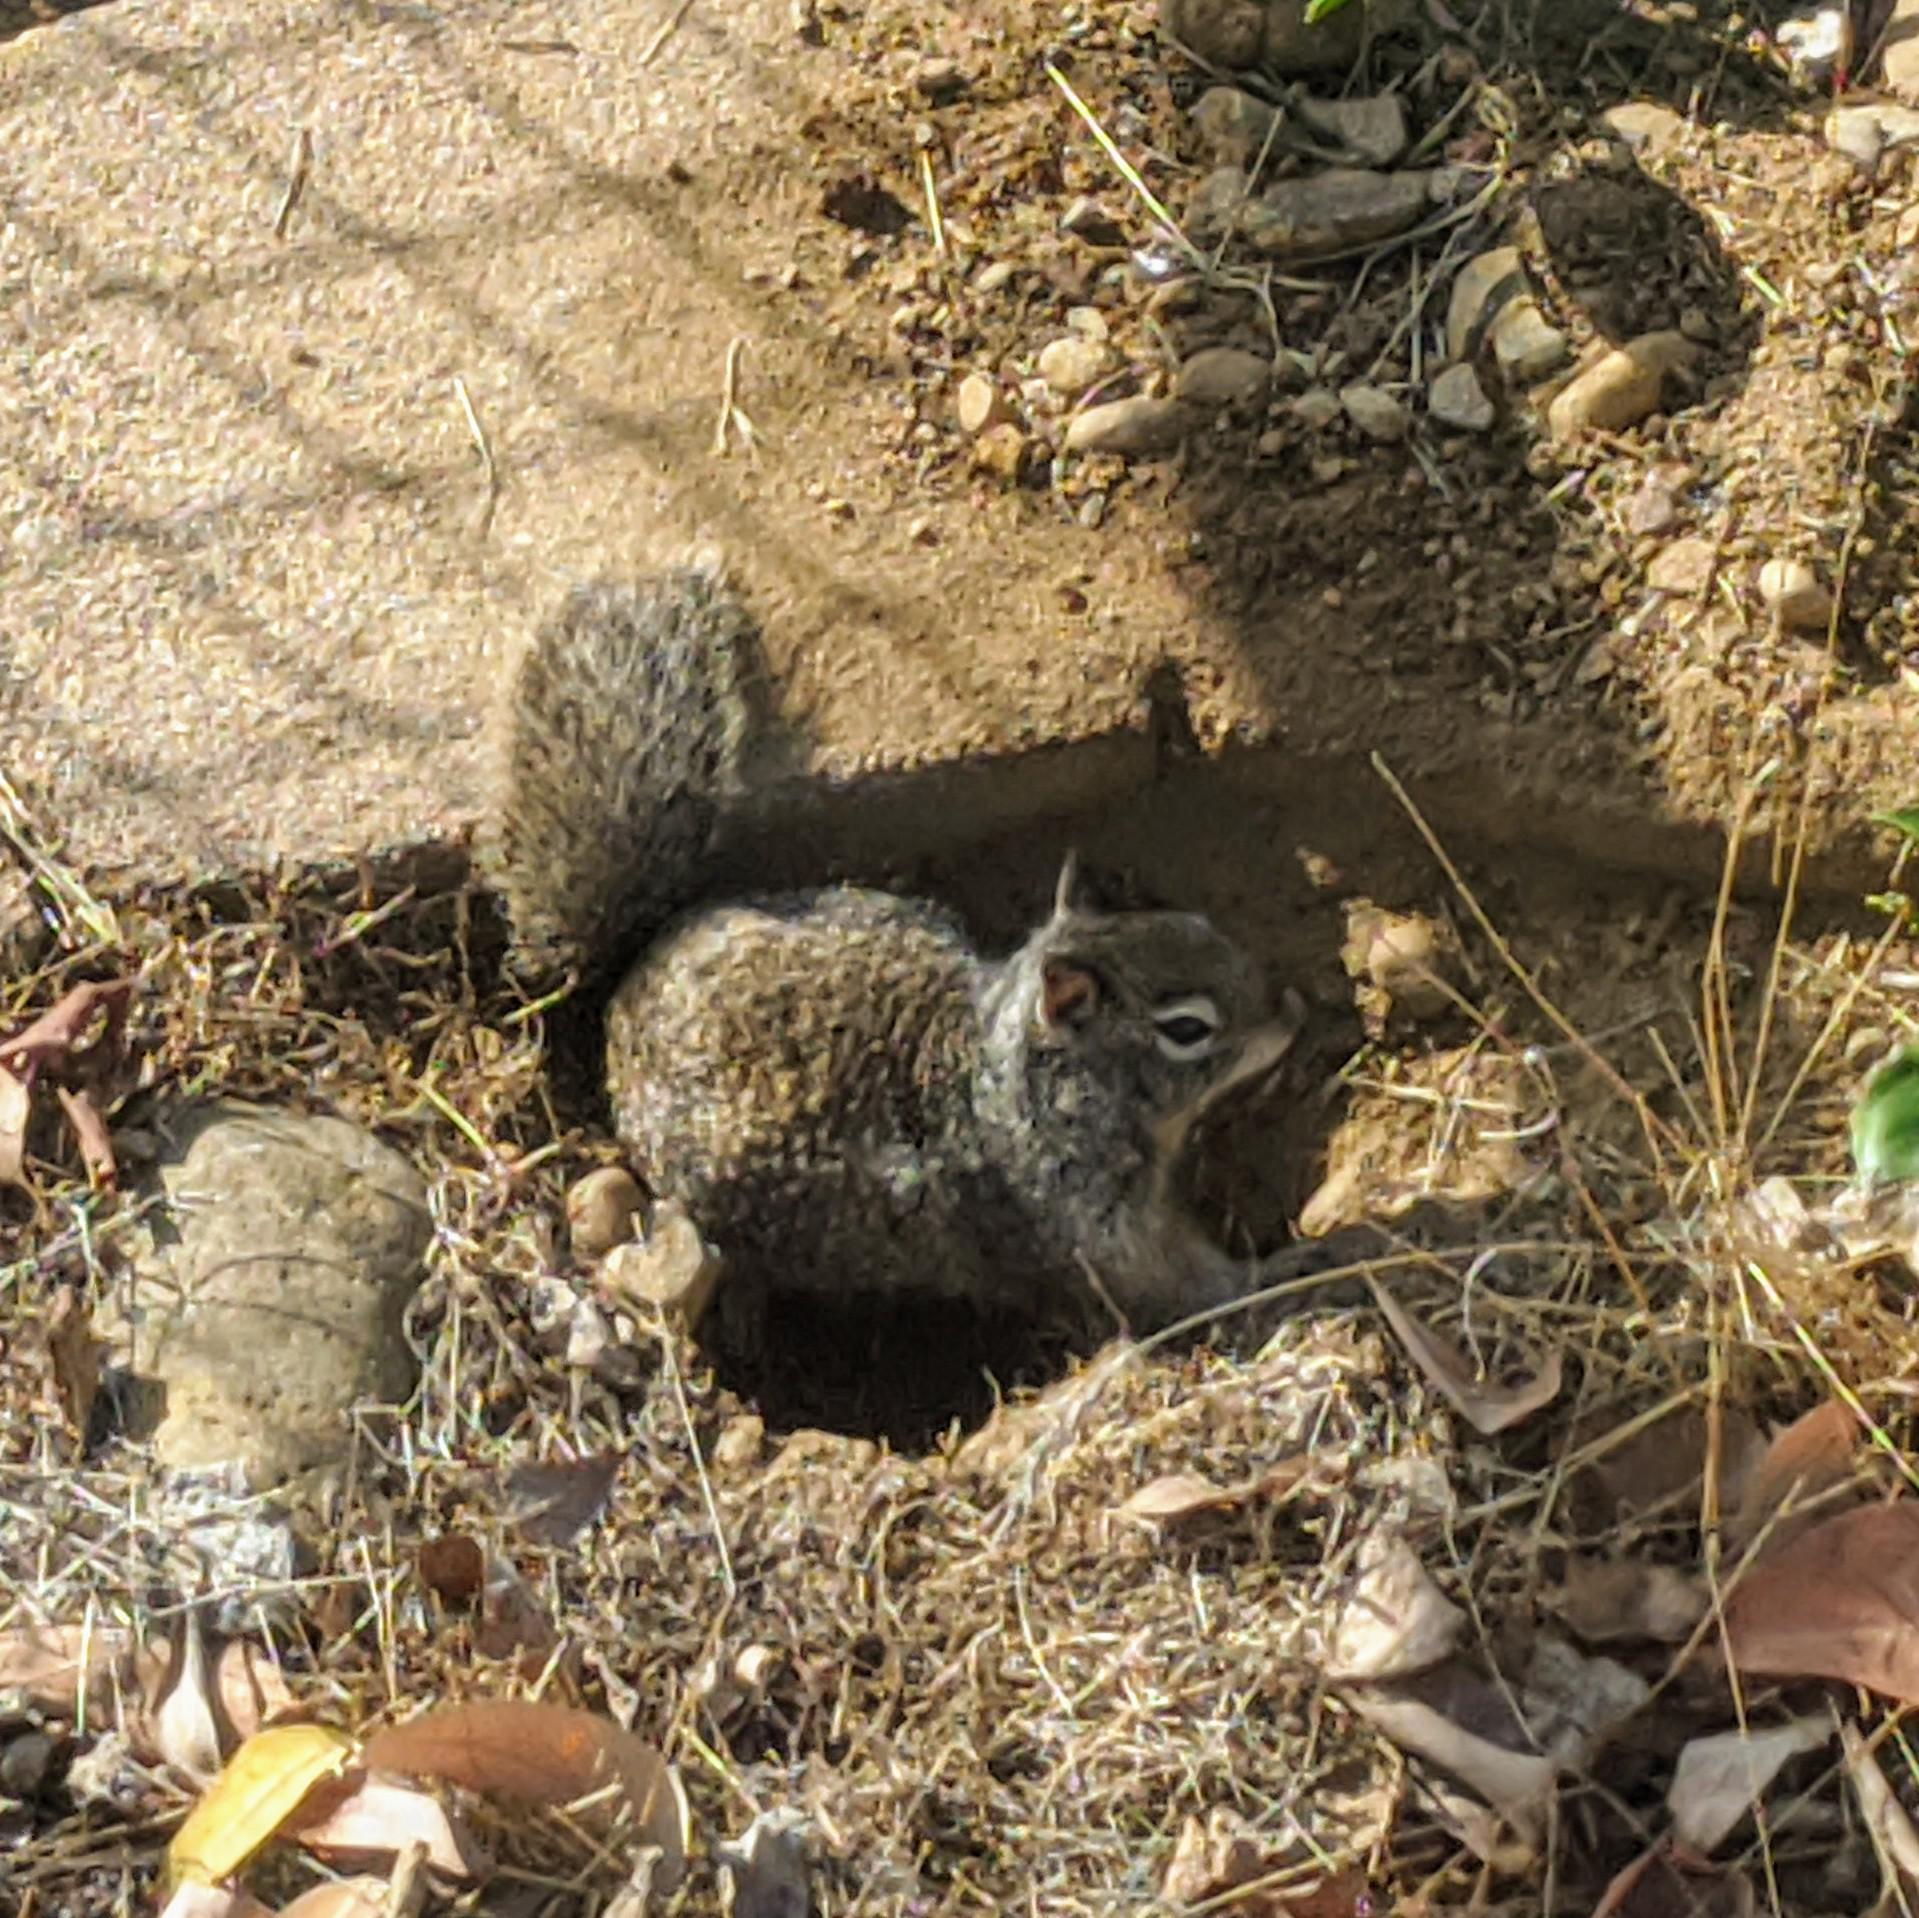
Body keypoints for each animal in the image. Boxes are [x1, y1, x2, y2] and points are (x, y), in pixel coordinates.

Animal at [480, 567, 1338, 1326]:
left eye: (1198, 925)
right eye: (1186, 1028)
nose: (1294, 1011)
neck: (1021, 1087)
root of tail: (633, 969)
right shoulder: (1096, 1231)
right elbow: (1181, 1287)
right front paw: (1280, 1270)